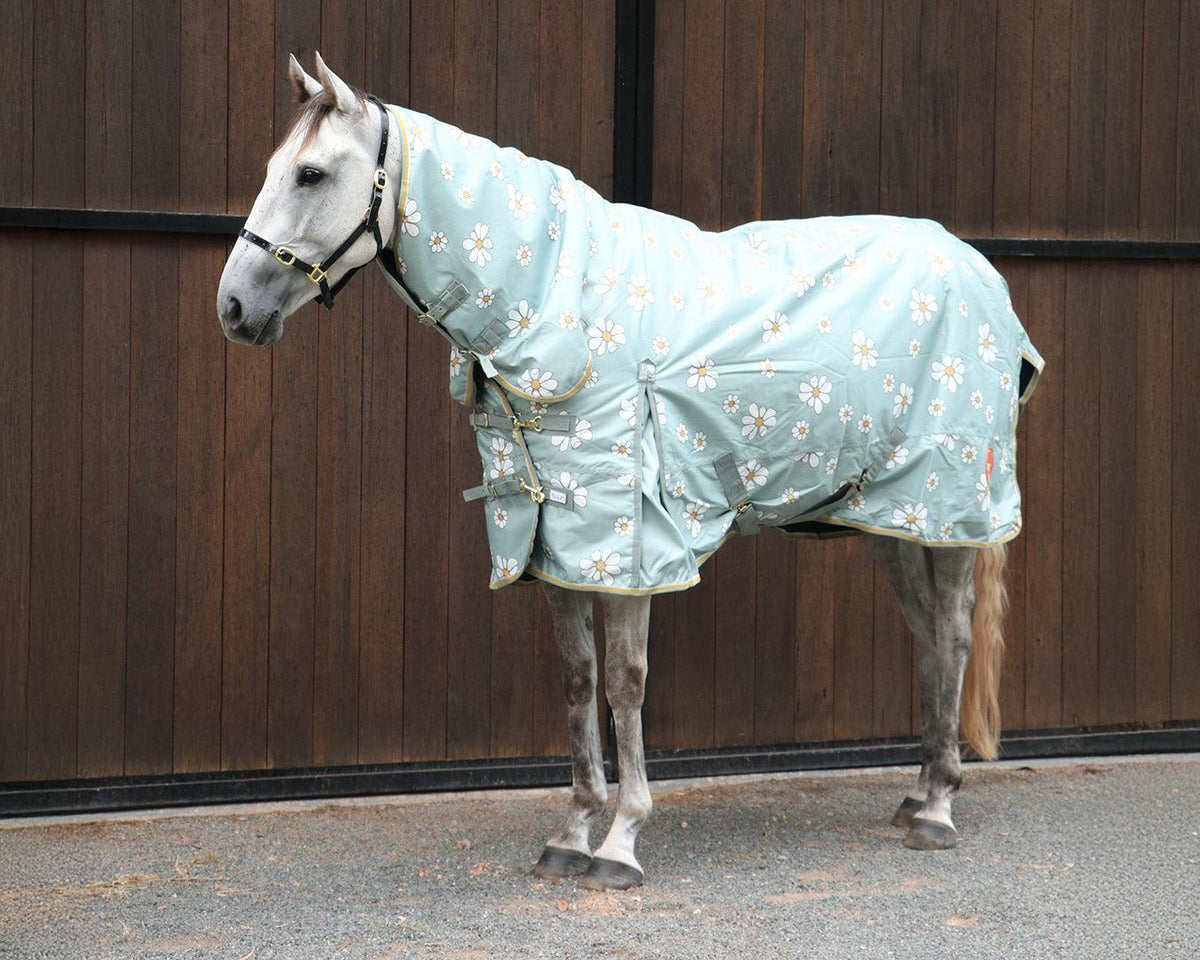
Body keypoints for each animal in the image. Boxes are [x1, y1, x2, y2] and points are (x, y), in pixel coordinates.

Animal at [217, 53, 1043, 892]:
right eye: (275, 168)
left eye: (311, 174)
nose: (235, 307)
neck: (556, 305)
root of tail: (979, 272)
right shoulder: (554, 540)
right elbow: (580, 681)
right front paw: (572, 834)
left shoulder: (629, 546)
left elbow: (625, 682)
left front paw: (621, 843)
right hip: (890, 518)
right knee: (928, 637)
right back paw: (917, 792)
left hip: (949, 511)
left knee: (954, 636)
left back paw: (937, 808)